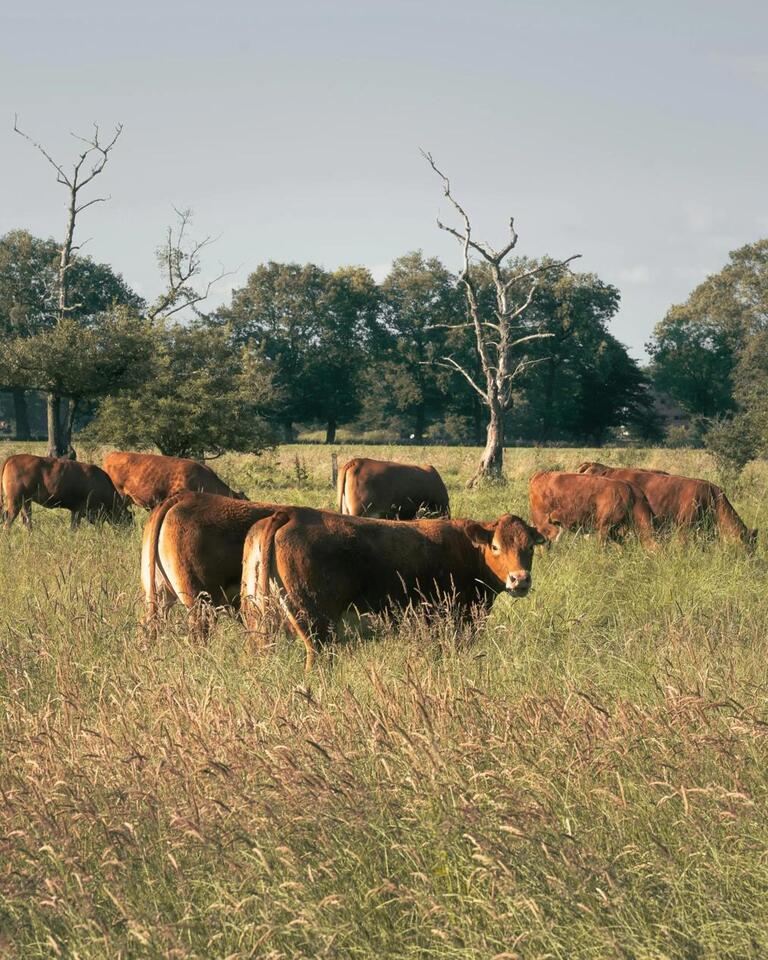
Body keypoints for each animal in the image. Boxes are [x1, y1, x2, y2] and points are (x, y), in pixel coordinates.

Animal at [1, 454, 130, 530]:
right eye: (129, 519)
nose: (128, 532)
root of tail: (13, 457)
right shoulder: (82, 510)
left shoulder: (76, 511)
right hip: (15, 501)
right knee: (9, 518)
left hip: (26, 501)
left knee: (27, 519)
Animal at [241, 508, 546, 671]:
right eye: (495, 546)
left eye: (530, 547)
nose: (520, 579)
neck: (466, 550)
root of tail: (291, 513)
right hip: (317, 624)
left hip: (259, 620)